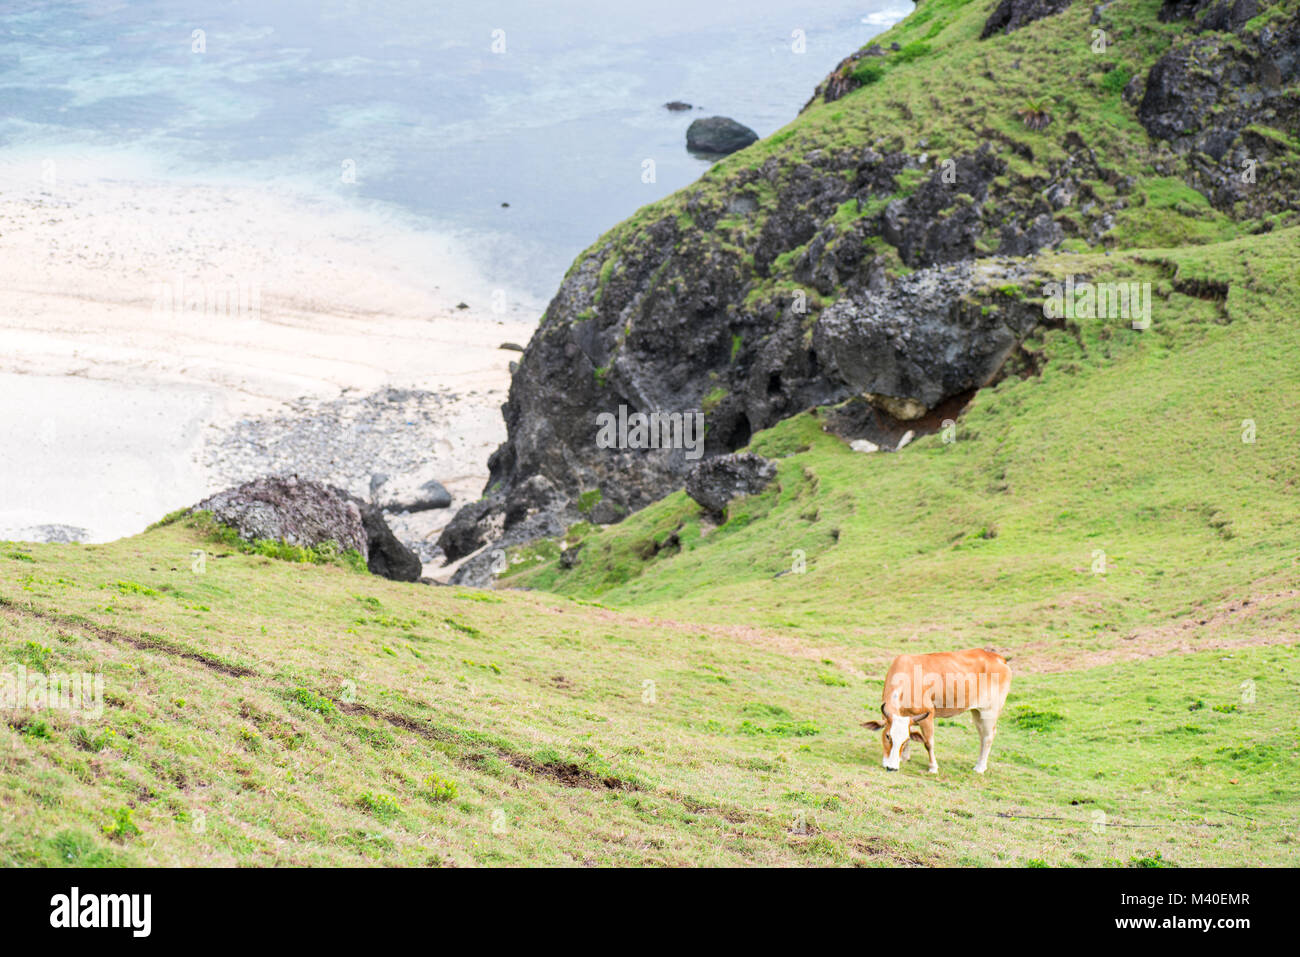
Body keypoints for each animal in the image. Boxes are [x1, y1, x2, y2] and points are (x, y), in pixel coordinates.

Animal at [863, 649, 1011, 774]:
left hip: (989, 712)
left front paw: (933, 767)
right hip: (977, 712)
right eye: (887, 736)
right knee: (982, 735)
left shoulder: (927, 717)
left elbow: (928, 743)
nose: (891, 767)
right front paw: (903, 758)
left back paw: (980, 767)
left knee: (988, 736)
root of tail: (998, 658)